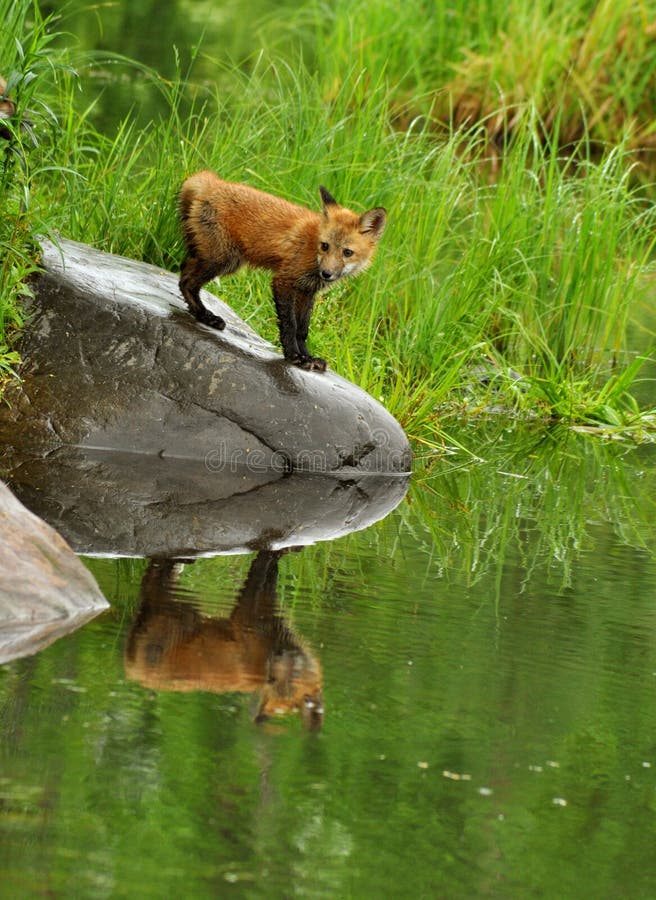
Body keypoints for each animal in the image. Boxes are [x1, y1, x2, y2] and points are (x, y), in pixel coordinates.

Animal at [178, 171, 387, 371]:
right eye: (325, 246)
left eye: (347, 252)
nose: (326, 273)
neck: (312, 249)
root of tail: (214, 182)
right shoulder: (284, 281)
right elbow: (290, 325)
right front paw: (294, 356)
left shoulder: (307, 290)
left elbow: (302, 330)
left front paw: (308, 357)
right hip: (222, 261)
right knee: (187, 281)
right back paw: (205, 316)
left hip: (225, 261)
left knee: (184, 270)